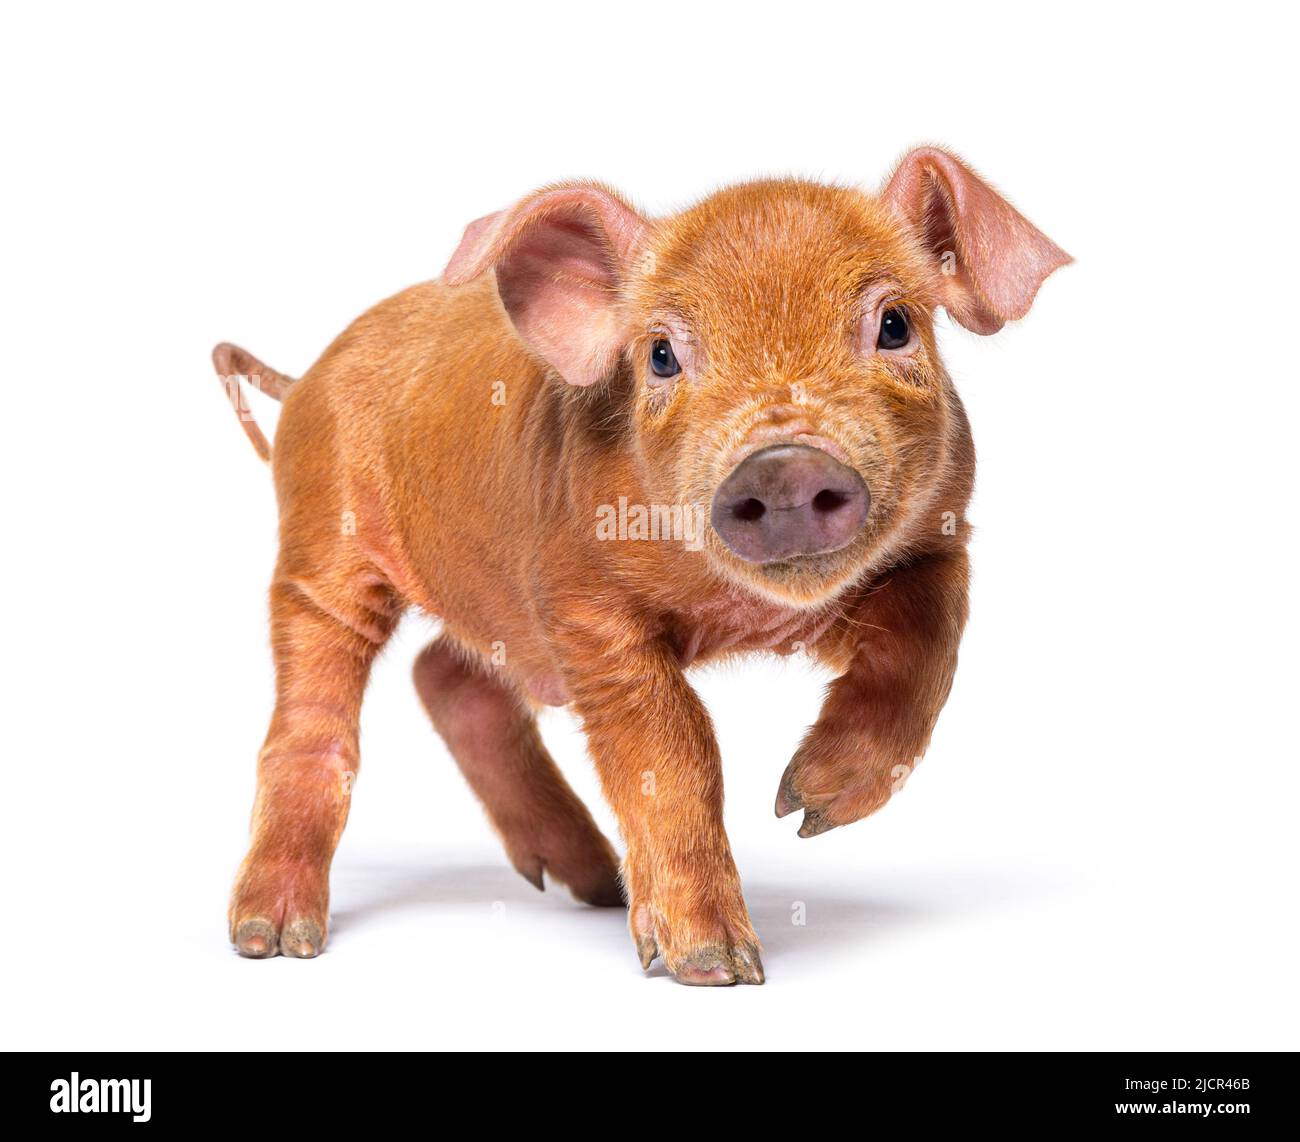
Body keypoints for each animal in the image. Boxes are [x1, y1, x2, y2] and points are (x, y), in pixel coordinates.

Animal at [215, 146, 1068, 985]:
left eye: (894, 325)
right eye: (661, 355)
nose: (781, 465)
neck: (745, 615)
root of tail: (306, 379)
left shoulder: (941, 542)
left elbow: (924, 650)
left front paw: (804, 807)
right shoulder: (581, 601)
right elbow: (674, 746)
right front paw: (713, 965)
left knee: (447, 675)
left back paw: (589, 885)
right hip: (319, 551)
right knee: (315, 718)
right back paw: (273, 940)